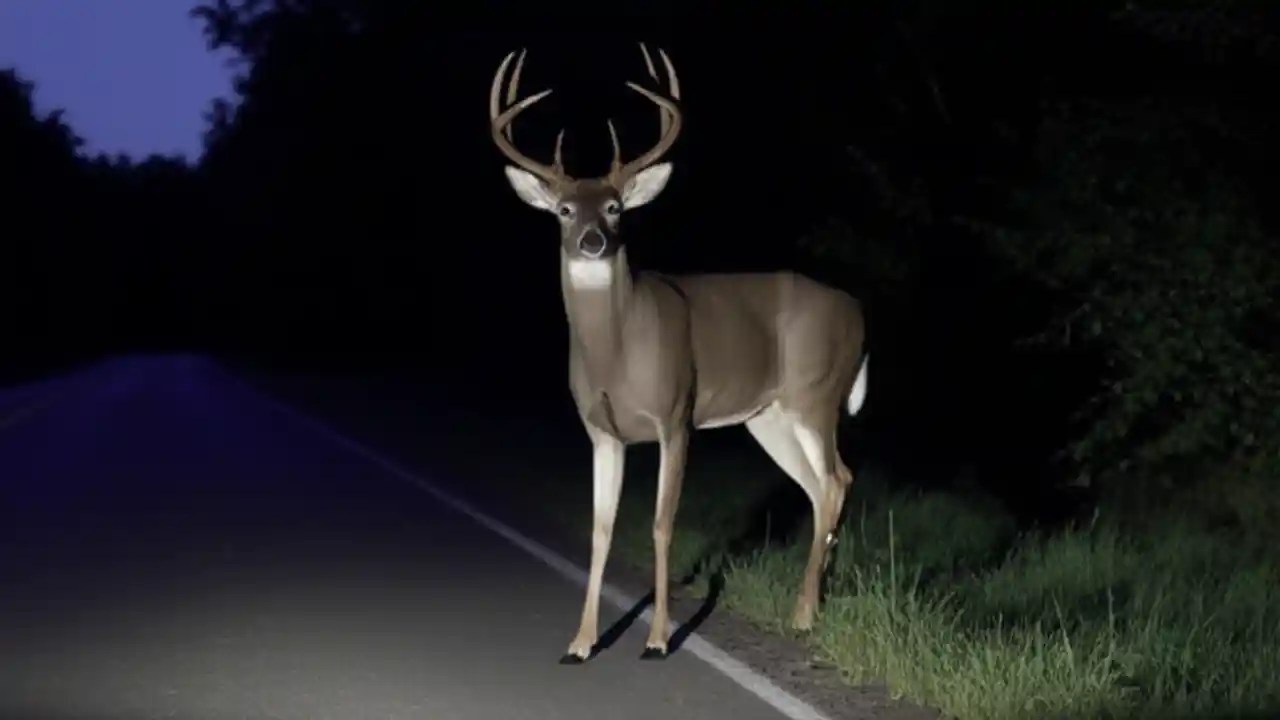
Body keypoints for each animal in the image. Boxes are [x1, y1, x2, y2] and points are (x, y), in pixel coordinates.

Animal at [487, 43, 869, 664]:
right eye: (565, 209)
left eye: (615, 207)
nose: (592, 241)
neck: (616, 352)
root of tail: (860, 311)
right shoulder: (602, 431)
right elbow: (601, 529)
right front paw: (581, 643)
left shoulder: (675, 416)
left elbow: (662, 525)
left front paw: (659, 639)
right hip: (768, 416)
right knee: (818, 489)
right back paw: (809, 605)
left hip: (817, 394)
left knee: (838, 477)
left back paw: (804, 615)